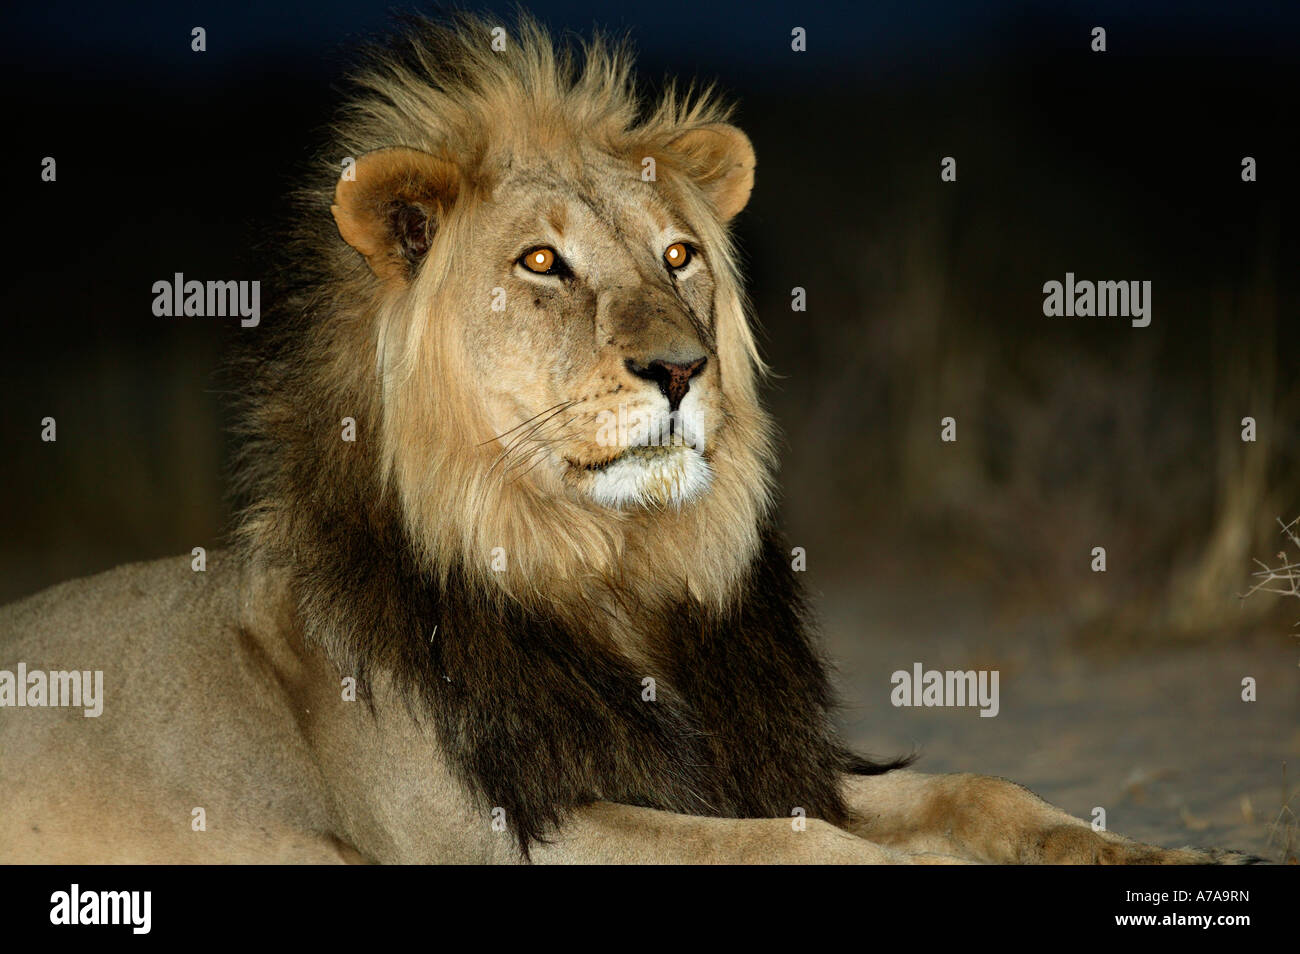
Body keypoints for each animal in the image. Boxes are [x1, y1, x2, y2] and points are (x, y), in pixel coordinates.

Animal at [0, 14, 1253, 864]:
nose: (681, 370)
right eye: (541, 263)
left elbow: (979, 791)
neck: (611, 569)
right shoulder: (501, 831)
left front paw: (1158, 853)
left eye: (678, 255)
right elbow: (799, 846)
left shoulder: (764, 757)